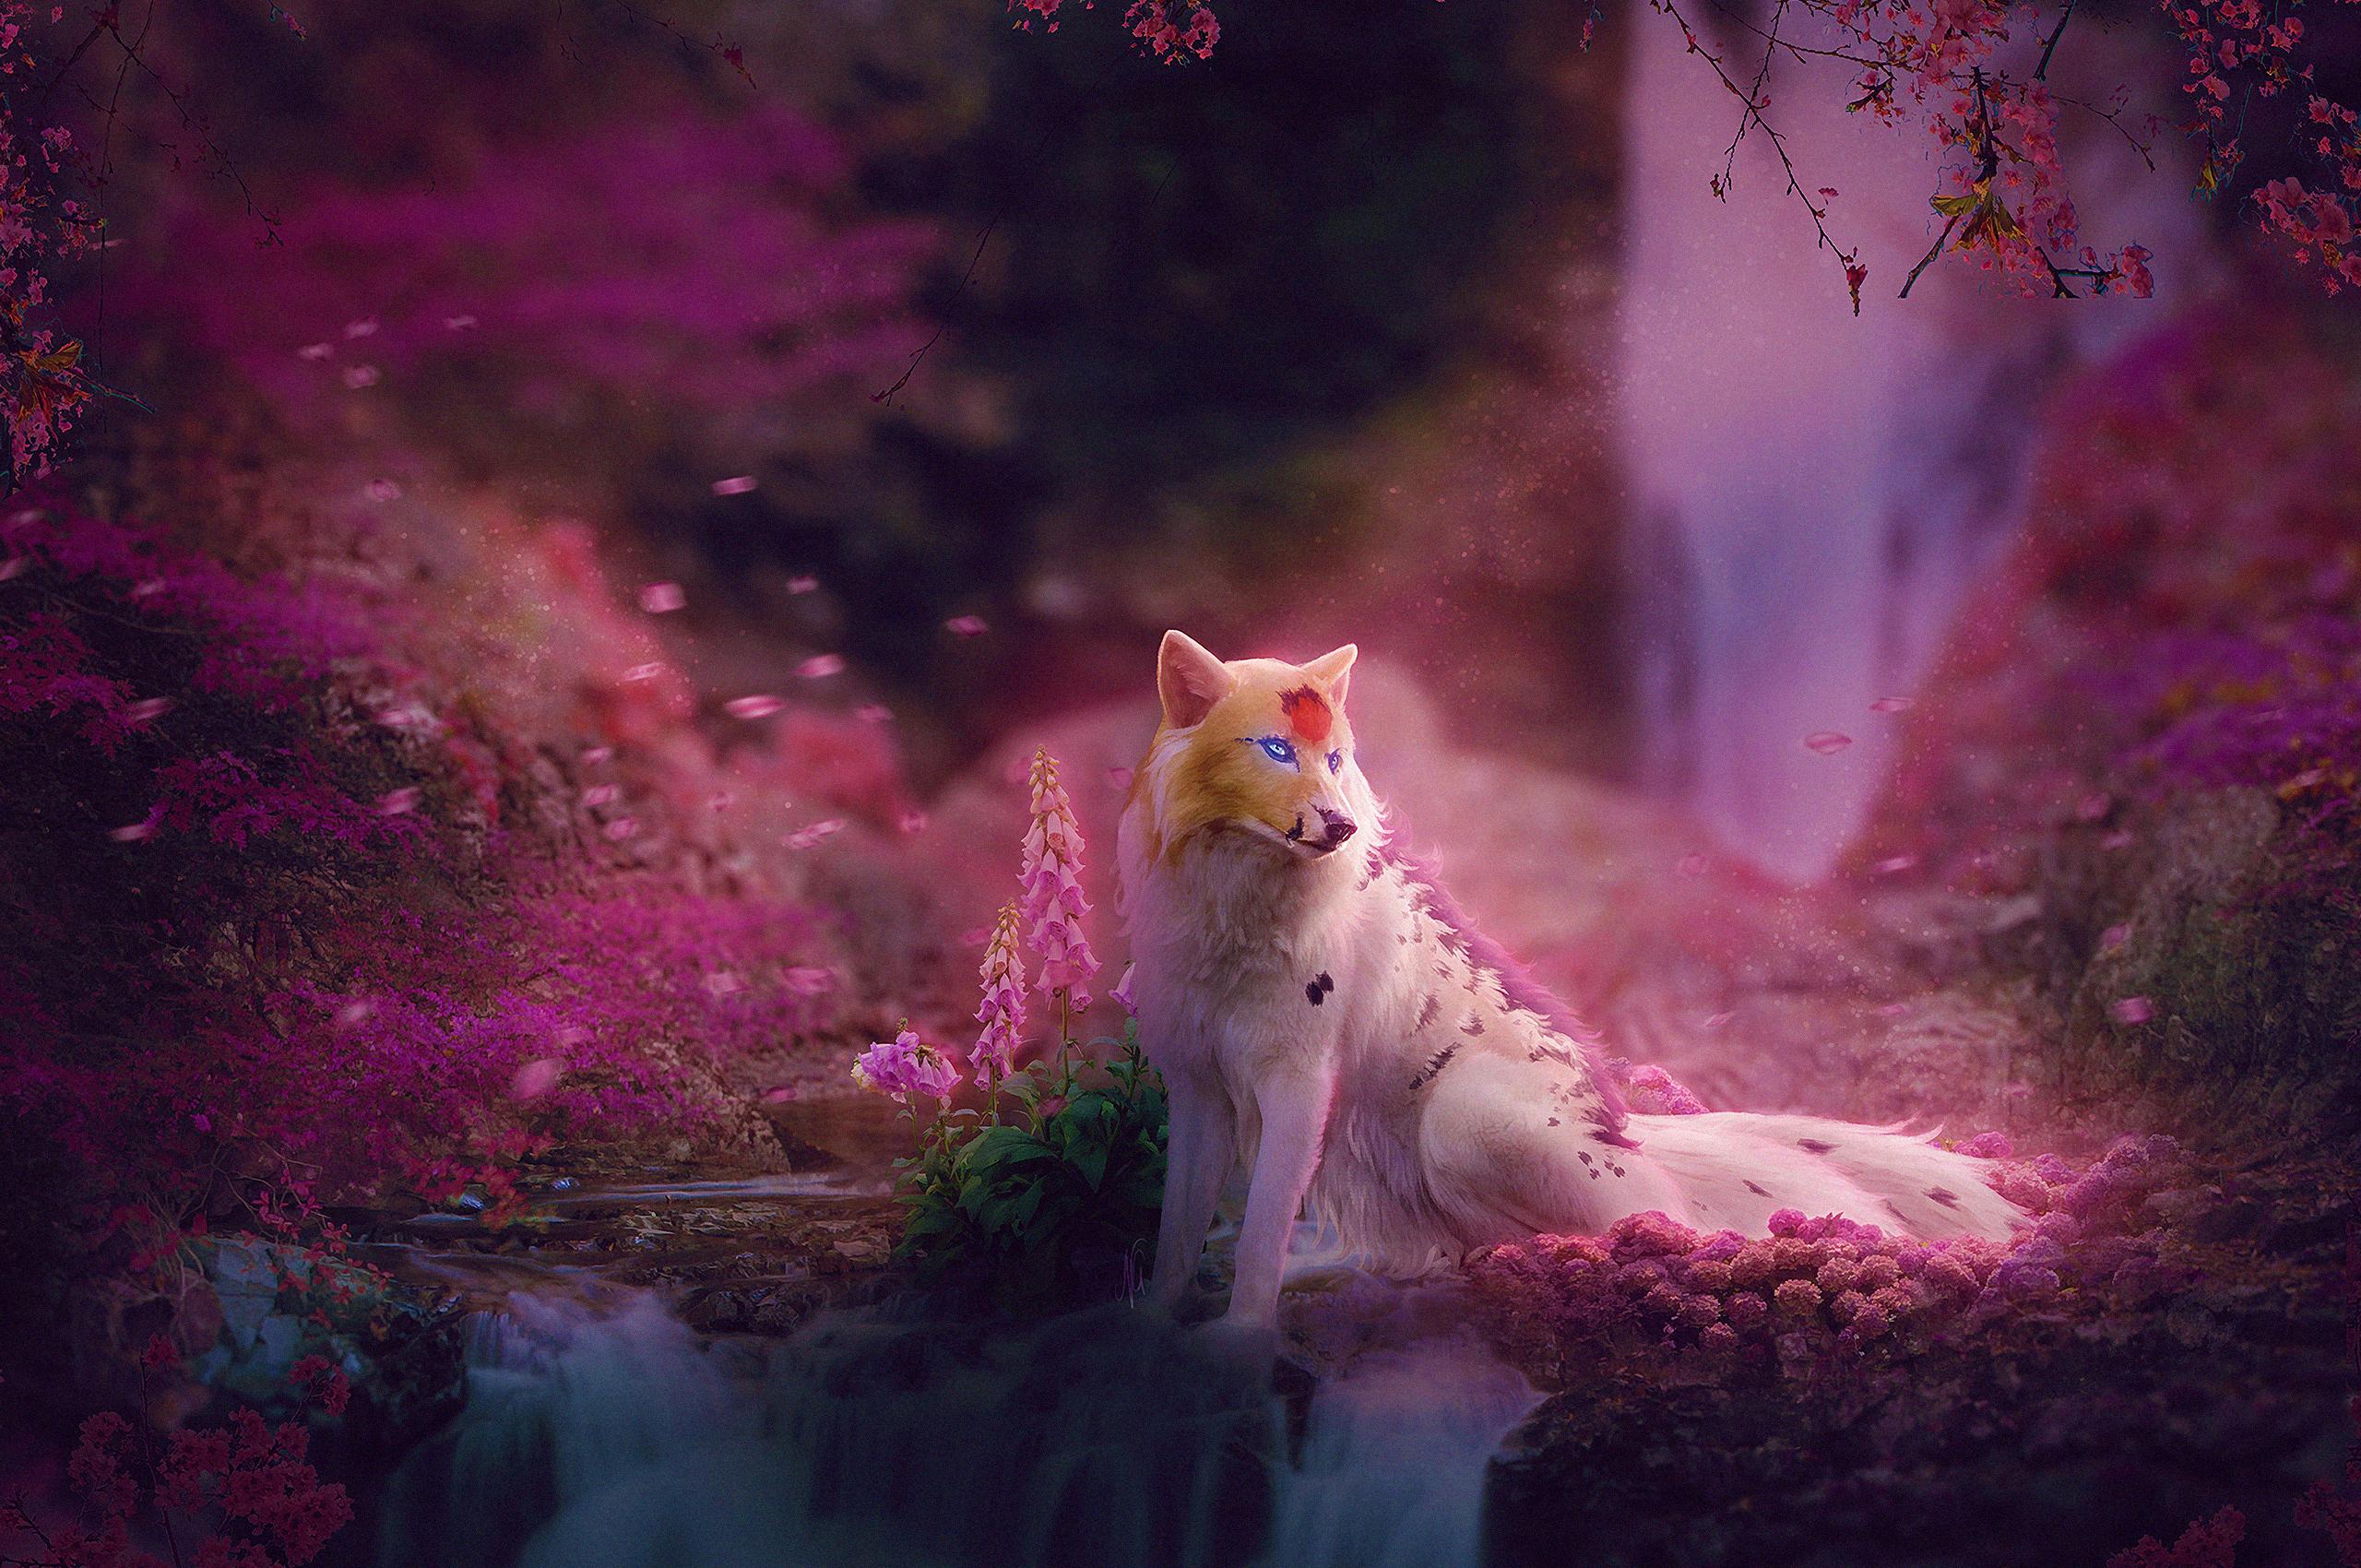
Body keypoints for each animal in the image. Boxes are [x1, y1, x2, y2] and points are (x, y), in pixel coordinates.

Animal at [1116, 630, 2025, 1331]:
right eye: (1277, 749)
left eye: (1334, 757)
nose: (1338, 825)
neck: (1233, 918)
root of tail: (1624, 1130)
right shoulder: (1197, 1089)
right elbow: (1176, 1233)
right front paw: (1150, 1333)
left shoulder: (1301, 1085)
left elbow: (1261, 1230)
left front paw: (1238, 1343)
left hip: (1462, 1120)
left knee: (1654, 1234)